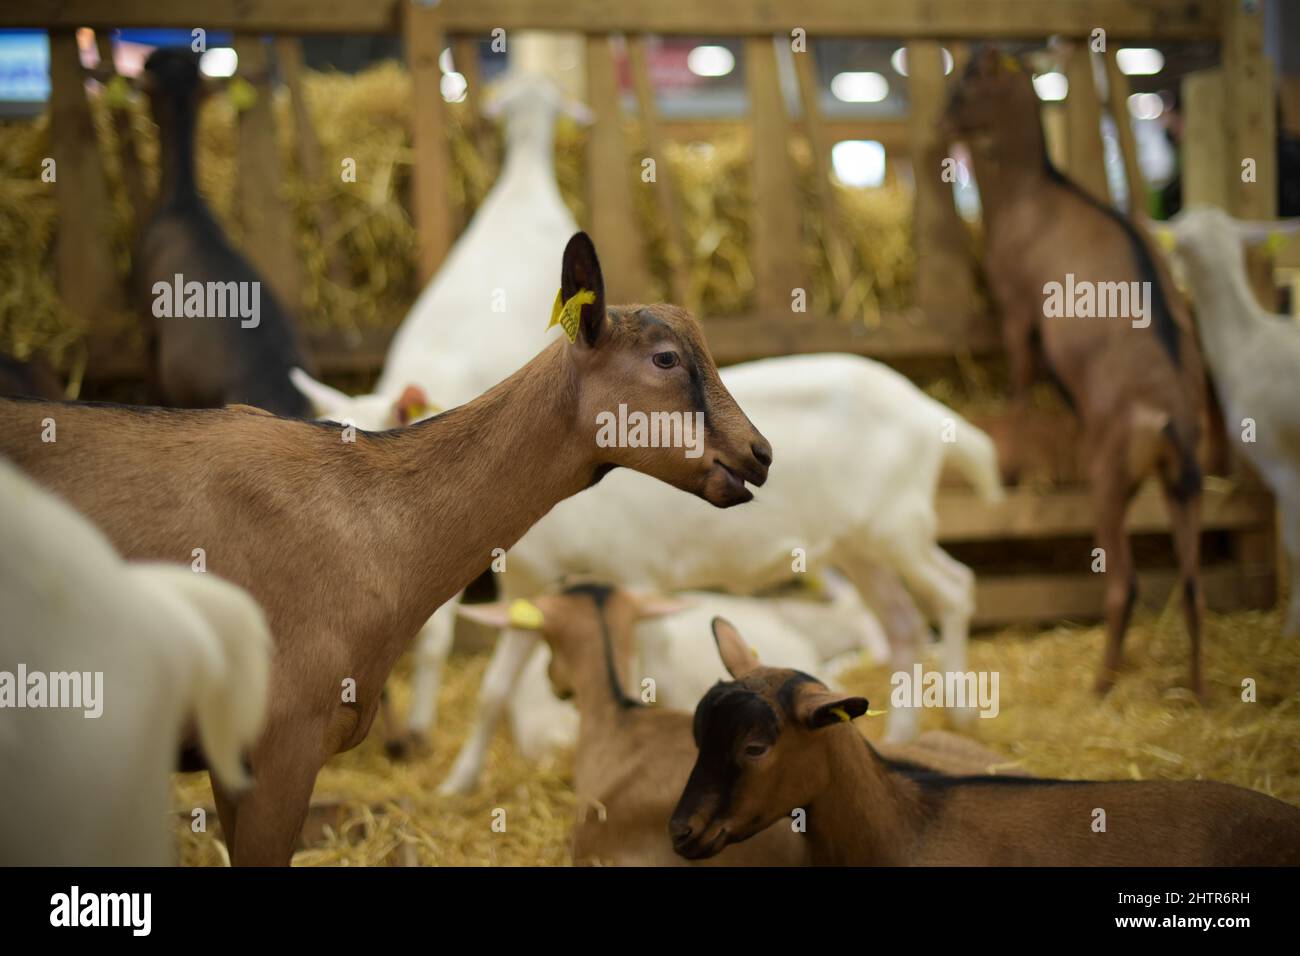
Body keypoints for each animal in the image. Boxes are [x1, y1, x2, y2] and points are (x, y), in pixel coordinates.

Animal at [433, 352, 1003, 793]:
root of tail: (926, 409)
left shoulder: (636, 577)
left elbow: (652, 676)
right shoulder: (532, 594)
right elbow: (492, 692)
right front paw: (456, 784)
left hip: (898, 526)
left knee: (953, 589)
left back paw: (962, 712)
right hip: (857, 545)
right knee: (903, 620)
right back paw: (902, 732)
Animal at [946, 48, 1207, 697]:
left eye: (971, 76)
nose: (944, 119)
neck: (1036, 187)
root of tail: (1169, 418)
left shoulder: (1016, 307)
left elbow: (1019, 380)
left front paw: (1012, 462)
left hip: (1110, 477)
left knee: (1125, 583)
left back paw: (1101, 683)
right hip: (1183, 486)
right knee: (1192, 586)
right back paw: (1198, 691)